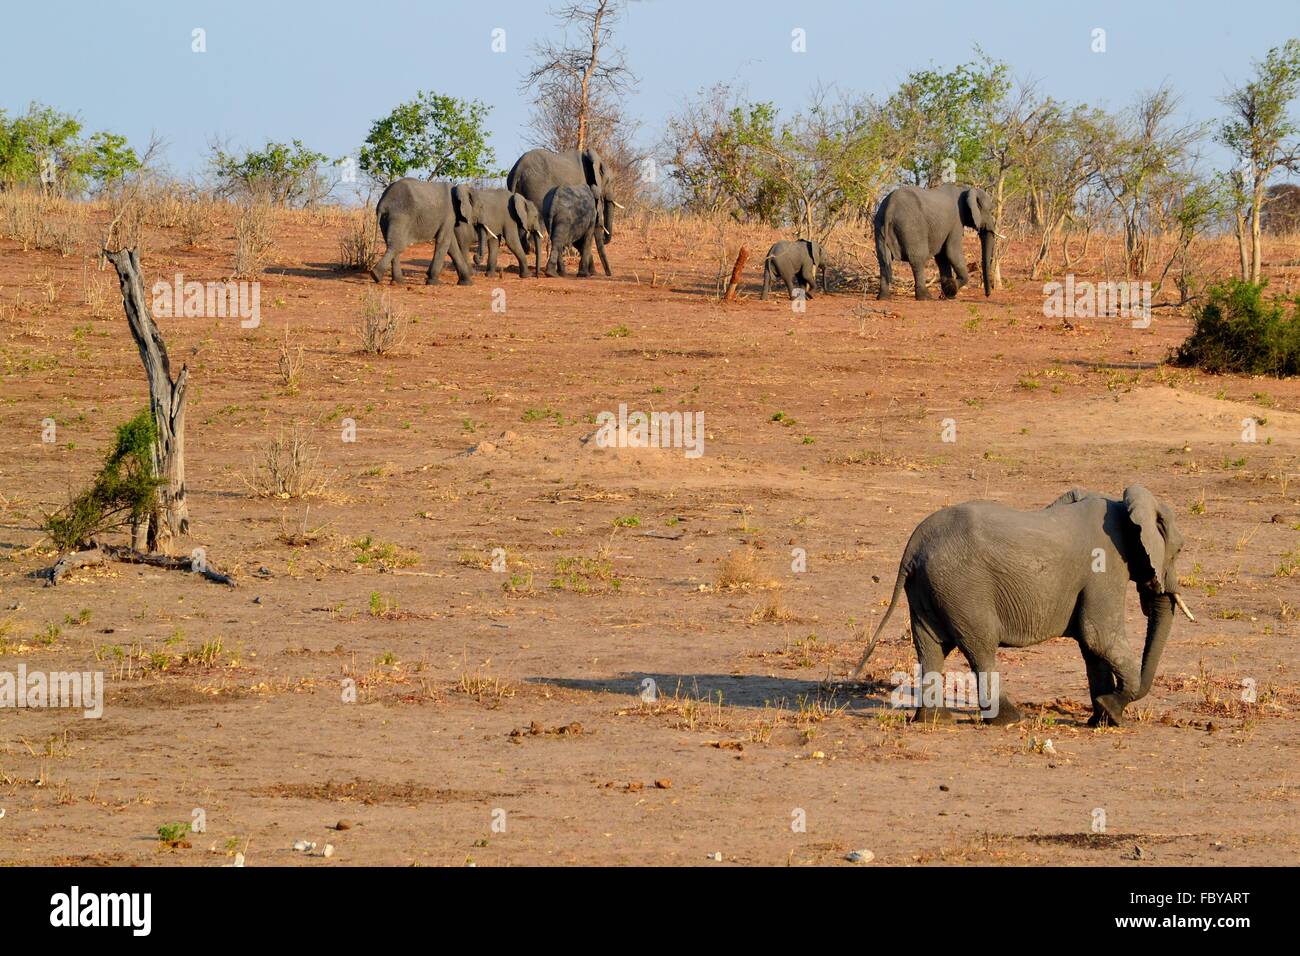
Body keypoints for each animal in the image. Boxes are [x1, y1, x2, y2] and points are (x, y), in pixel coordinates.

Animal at [851, 485, 1195, 728]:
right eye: (1179, 550)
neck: (1124, 505)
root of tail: (913, 546)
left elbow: (1091, 648)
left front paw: (1102, 719)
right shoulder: (1104, 567)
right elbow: (1099, 636)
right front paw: (1112, 713)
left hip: (929, 586)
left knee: (931, 648)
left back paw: (935, 720)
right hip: (963, 587)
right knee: (980, 648)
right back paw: (1009, 720)